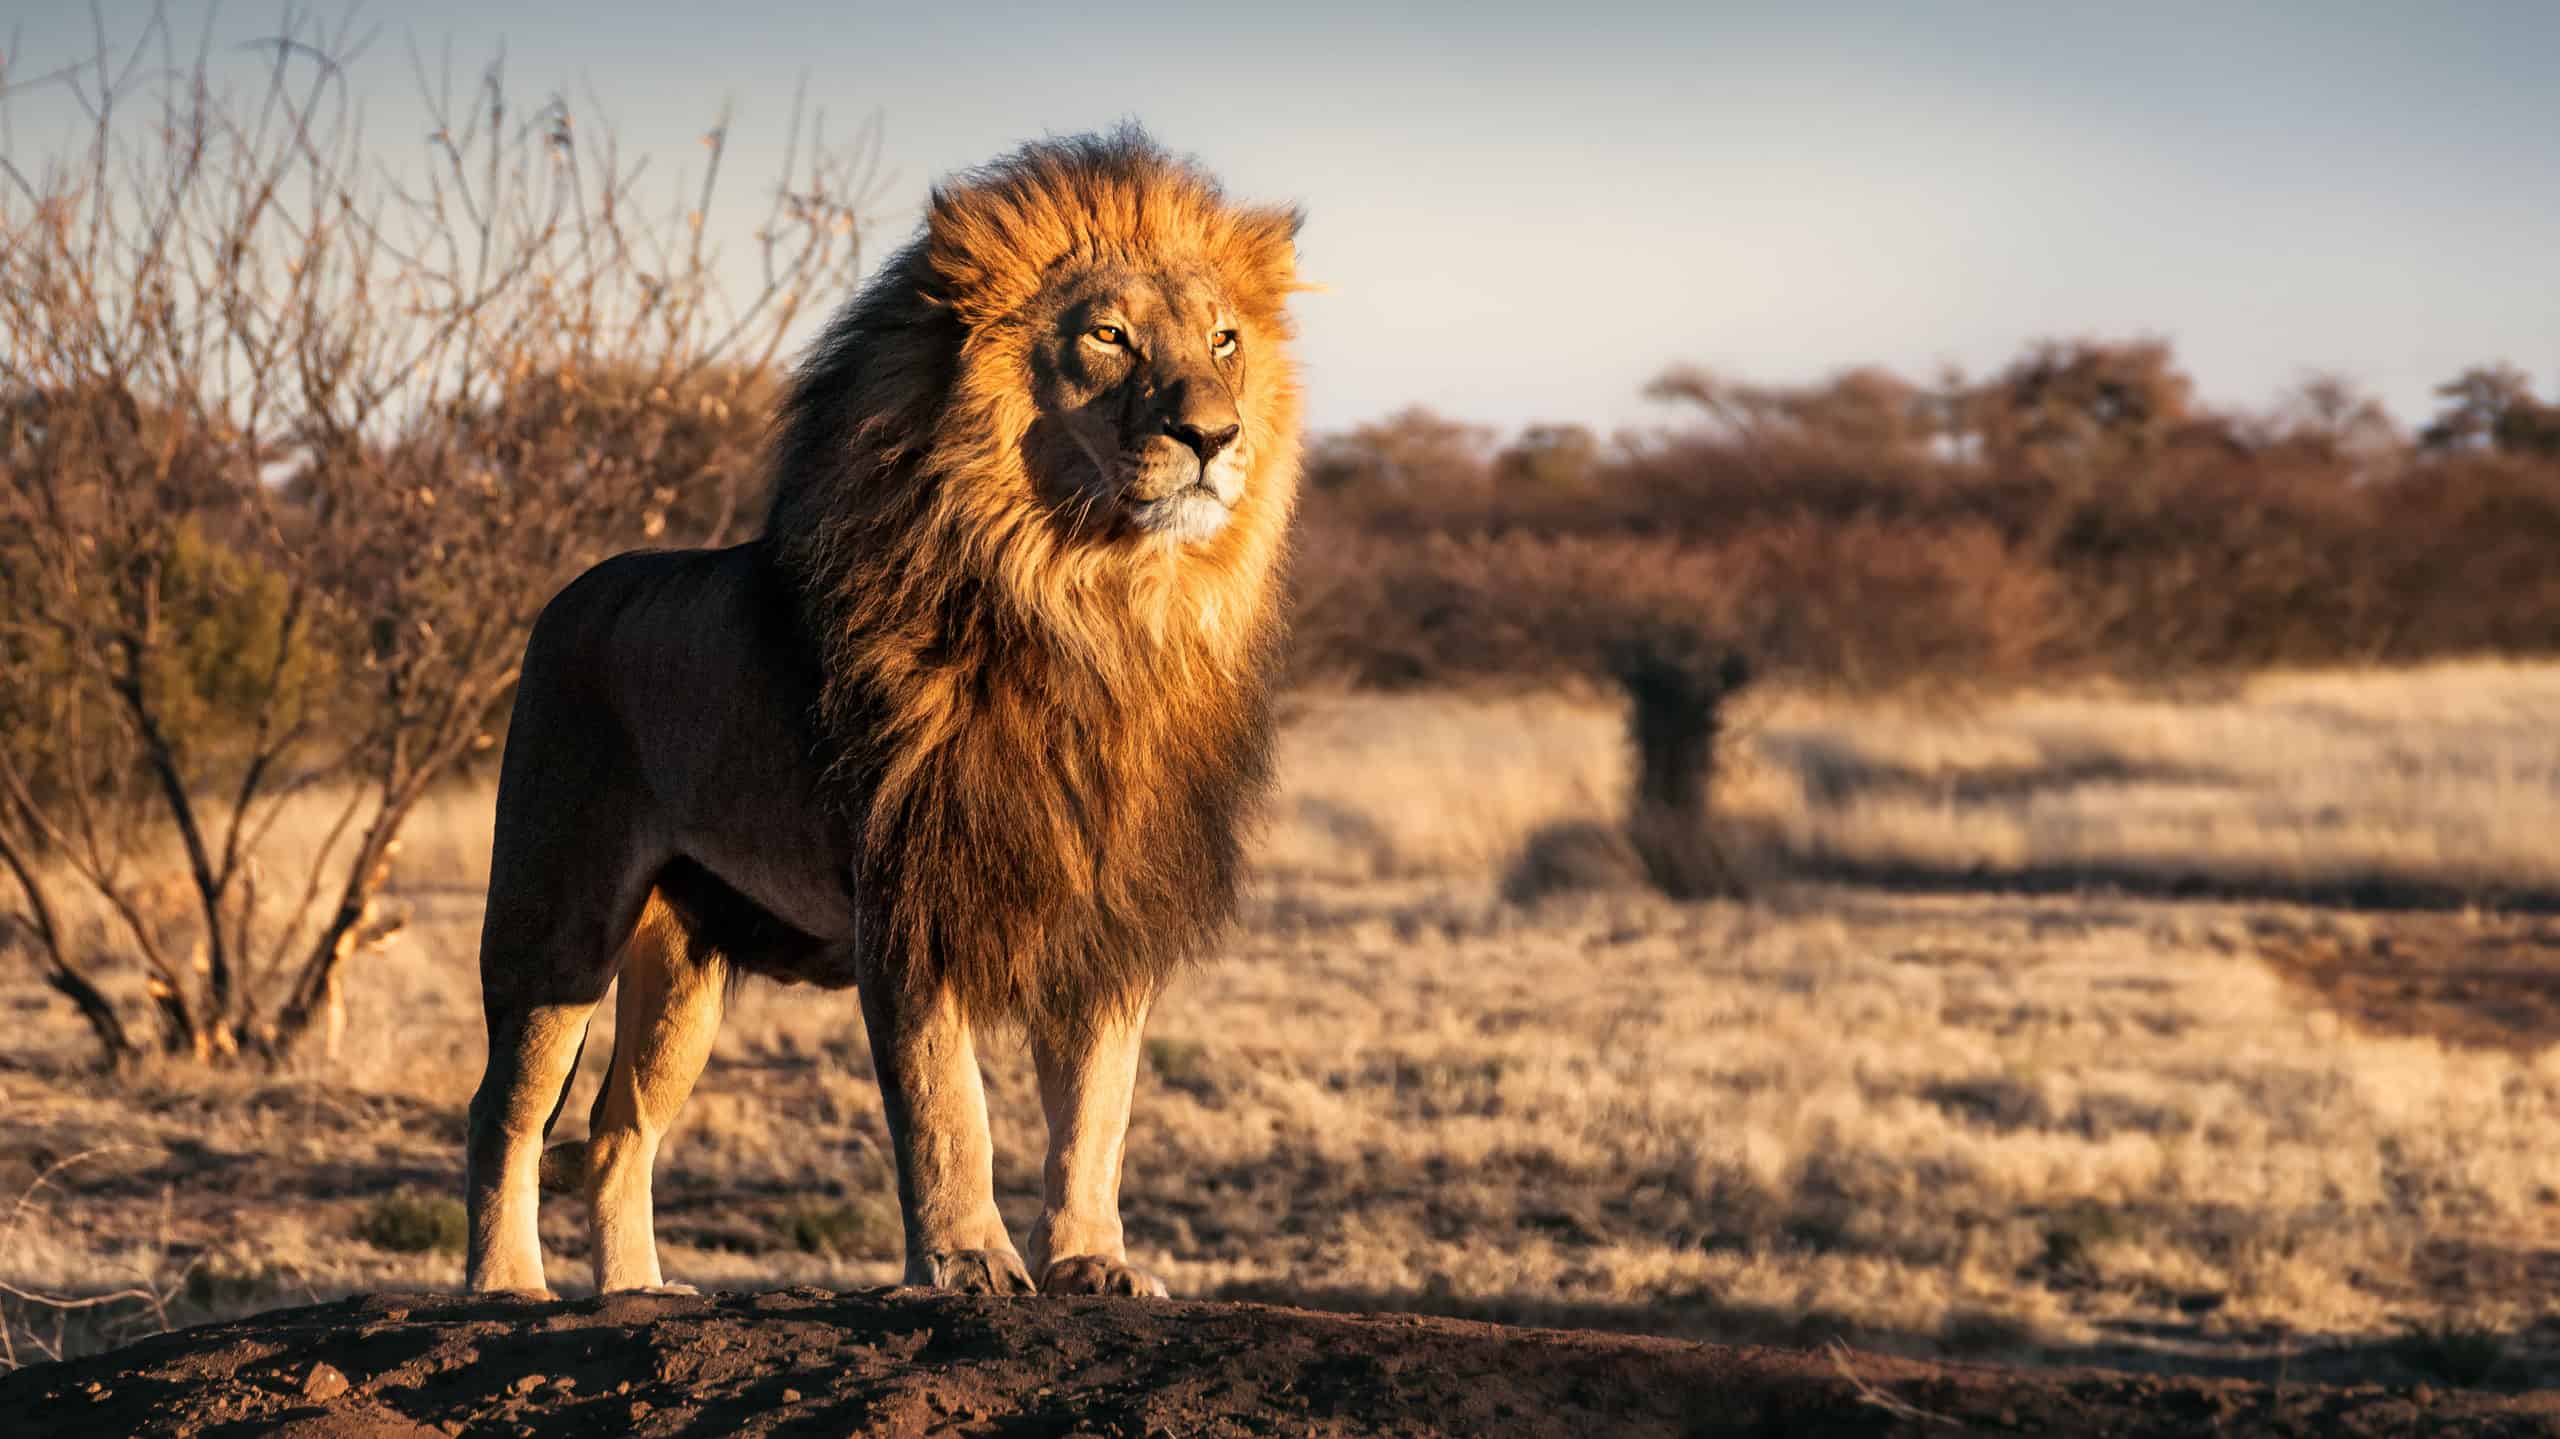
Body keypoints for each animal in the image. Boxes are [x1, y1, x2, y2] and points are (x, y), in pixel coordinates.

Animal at [462, 129, 1304, 1300]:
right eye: (1108, 335)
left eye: (1225, 340)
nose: (1214, 434)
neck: (1092, 606)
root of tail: (568, 593)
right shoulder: (909, 893)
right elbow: (949, 1105)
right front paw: (967, 1260)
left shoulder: (1107, 907)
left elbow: (1097, 1110)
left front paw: (1093, 1260)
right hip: (557, 919)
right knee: (504, 1110)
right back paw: (506, 1284)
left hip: (683, 969)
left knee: (619, 1128)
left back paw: (638, 1290)